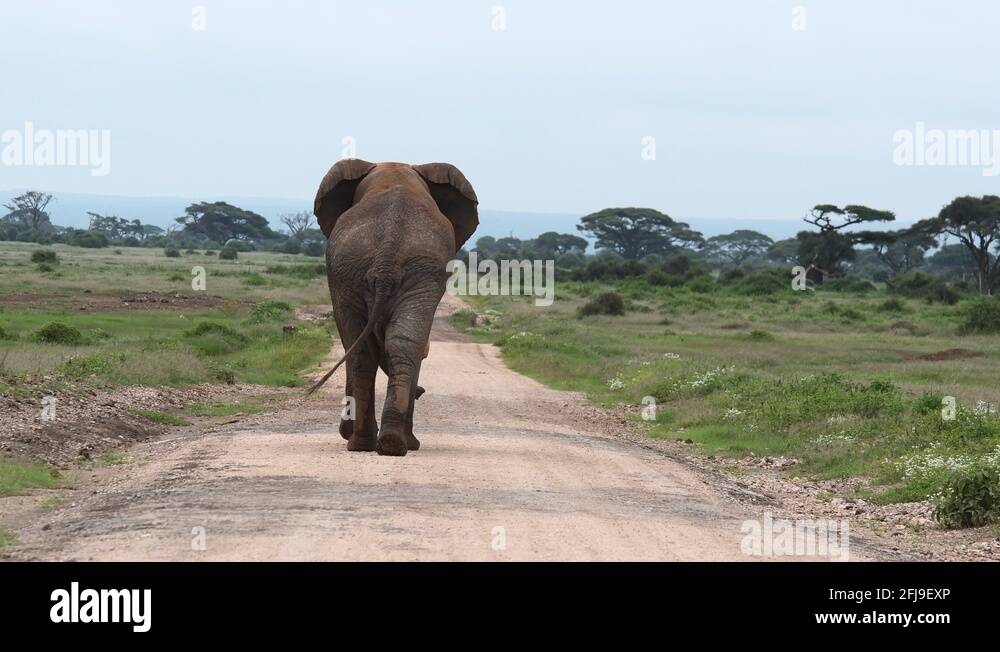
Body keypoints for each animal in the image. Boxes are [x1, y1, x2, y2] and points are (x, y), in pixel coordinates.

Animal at [306, 159, 479, 456]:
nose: (422, 391)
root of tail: (388, 250)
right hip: (365, 271)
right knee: (391, 347)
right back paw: (382, 443)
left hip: (395, 272)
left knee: (374, 349)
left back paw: (378, 443)